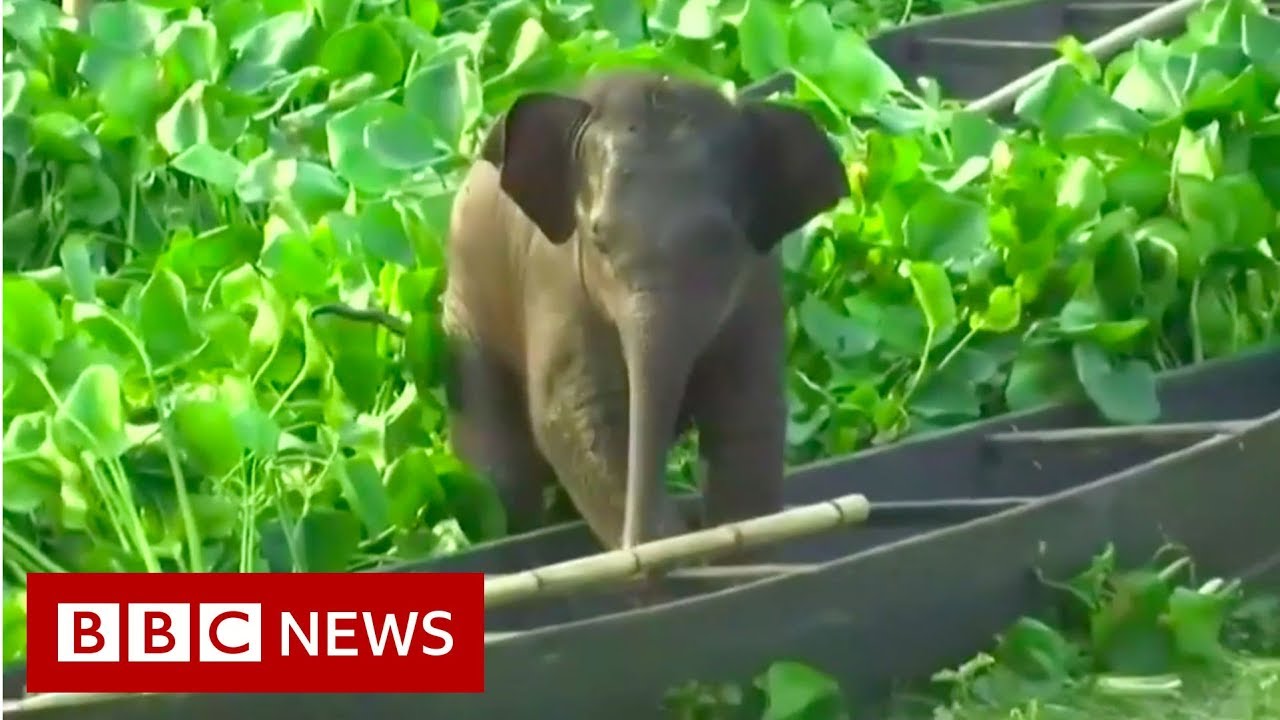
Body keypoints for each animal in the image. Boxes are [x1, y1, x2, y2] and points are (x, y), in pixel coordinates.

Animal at [319, 70, 851, 559]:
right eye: (598, 238)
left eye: (723, 240)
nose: (650, 541)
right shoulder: (557, 282)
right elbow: (576, 414)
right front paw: (668, 547)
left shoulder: (758, 287)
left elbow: (748, 409)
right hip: (466, 323)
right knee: (499, 481)